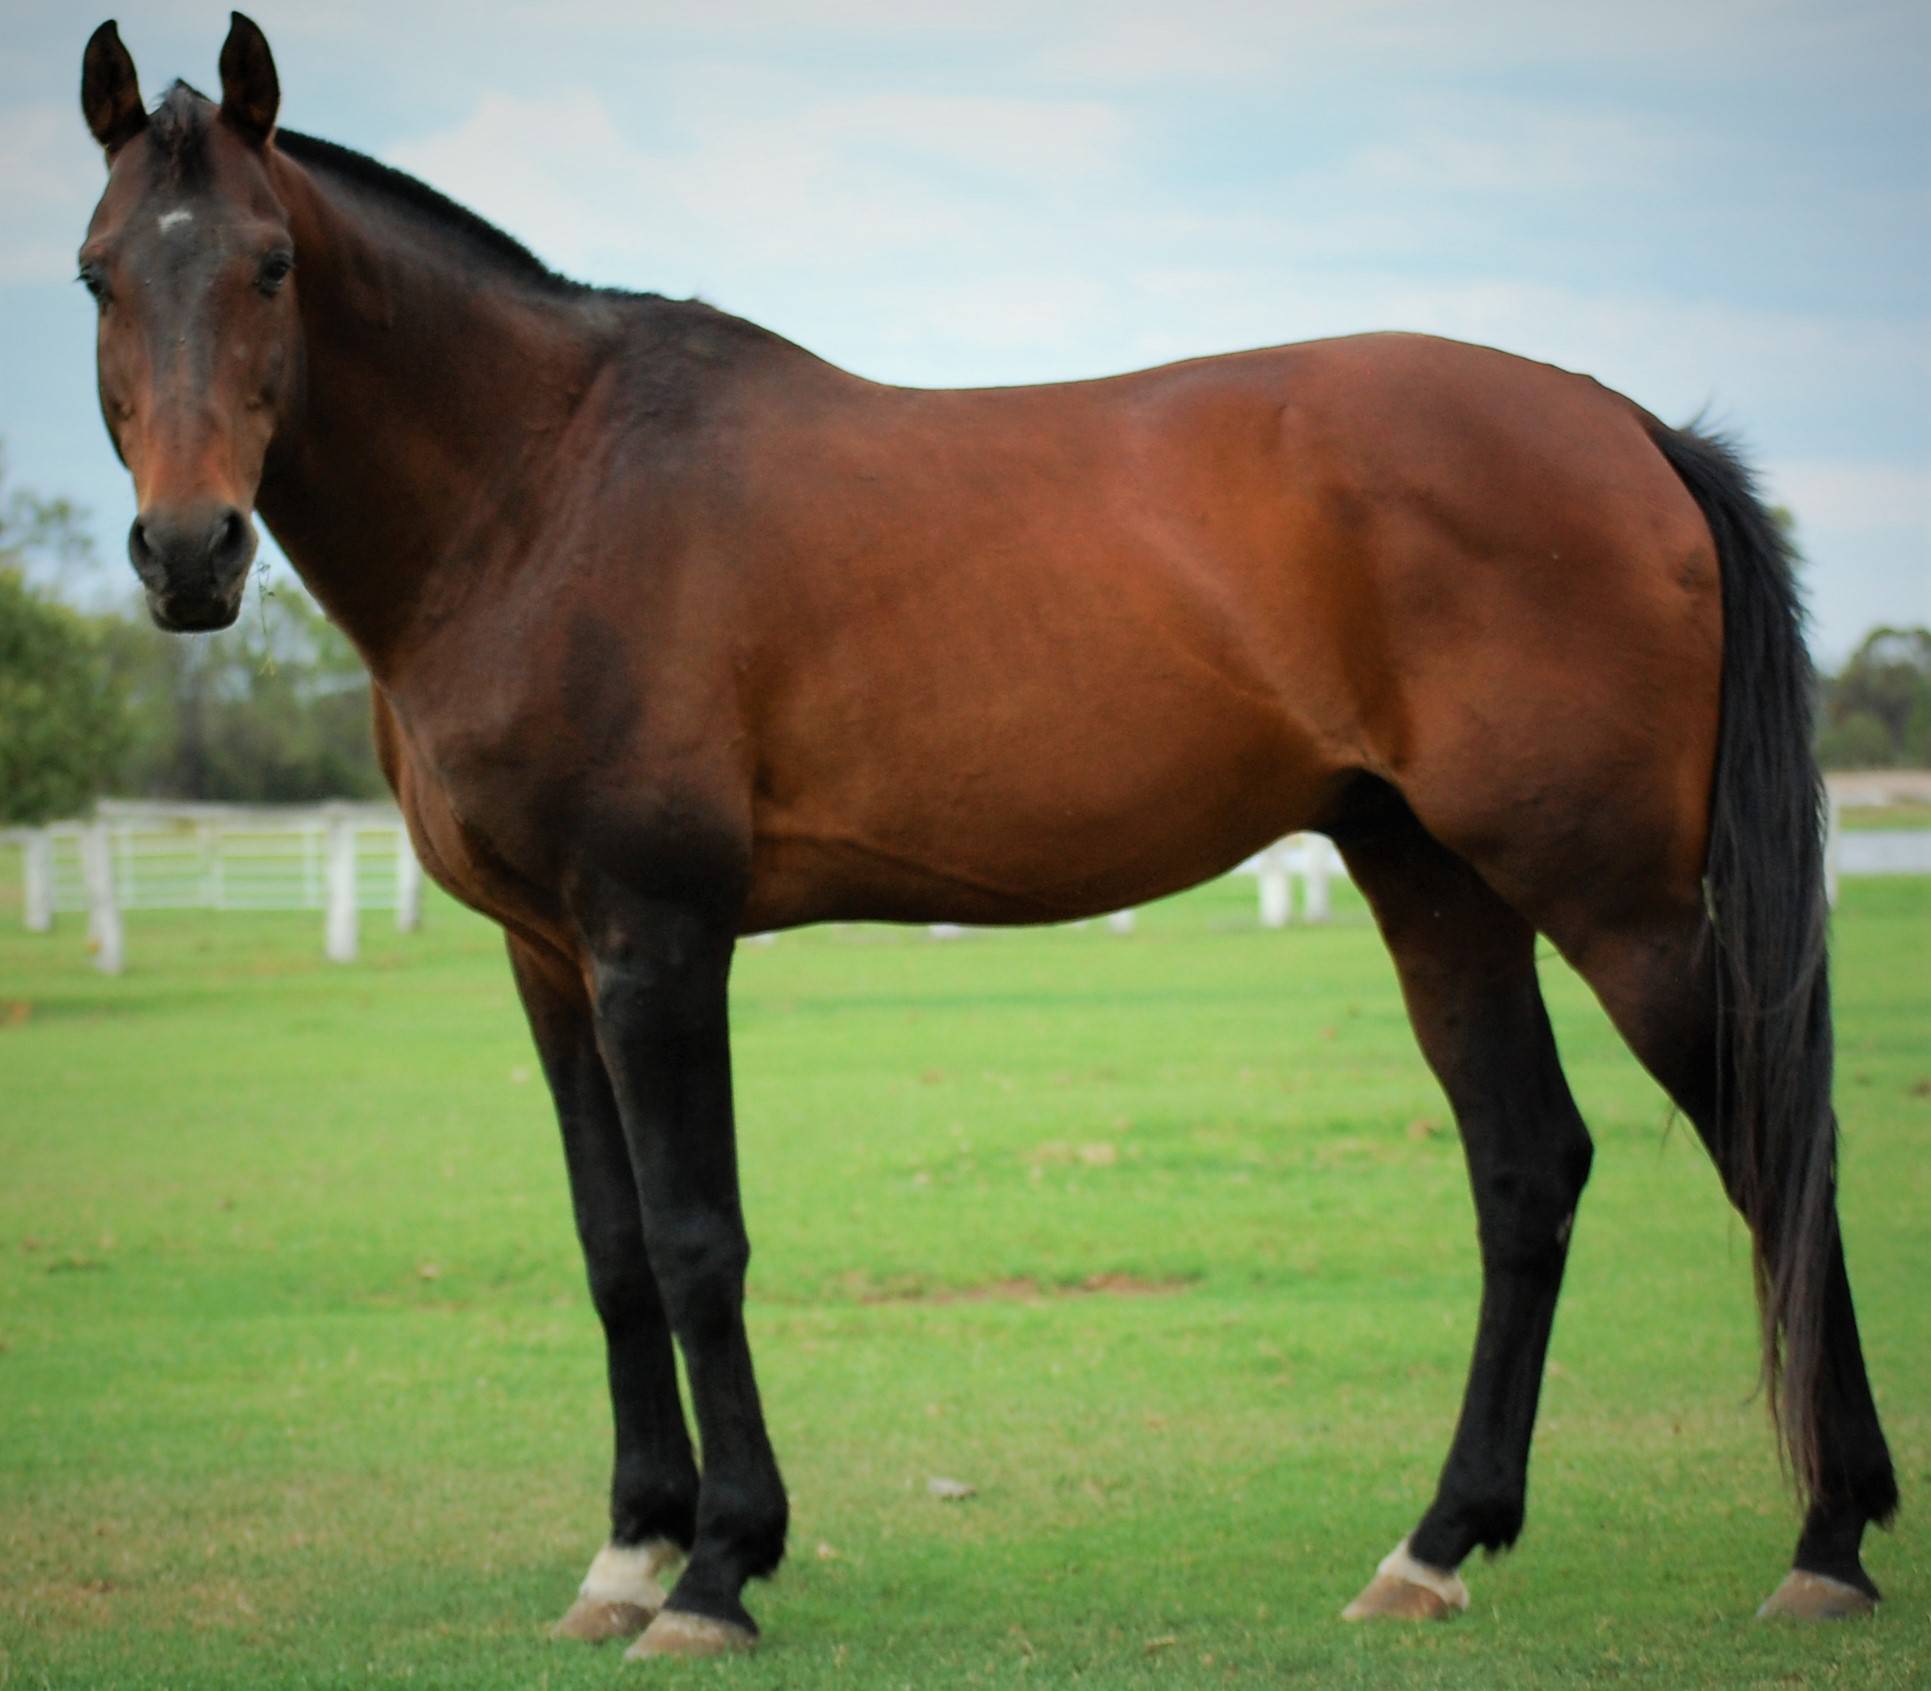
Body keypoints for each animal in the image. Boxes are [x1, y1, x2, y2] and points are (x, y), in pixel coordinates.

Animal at [76, 14, 1896, 1659]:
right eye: (95, 274)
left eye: (268, 267)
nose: (188, 554)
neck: (544, 487)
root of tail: (1622, 422)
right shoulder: (545, 952)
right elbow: (610, 1250)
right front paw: (625, 1555)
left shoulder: (657, 934)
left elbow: (695, 1238)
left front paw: (719, 1569)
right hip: (1430, 877)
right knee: (1528, 1167)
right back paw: (1435, 1544)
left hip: (1615, 901)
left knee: (1767, 1144)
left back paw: (1827, 1540)